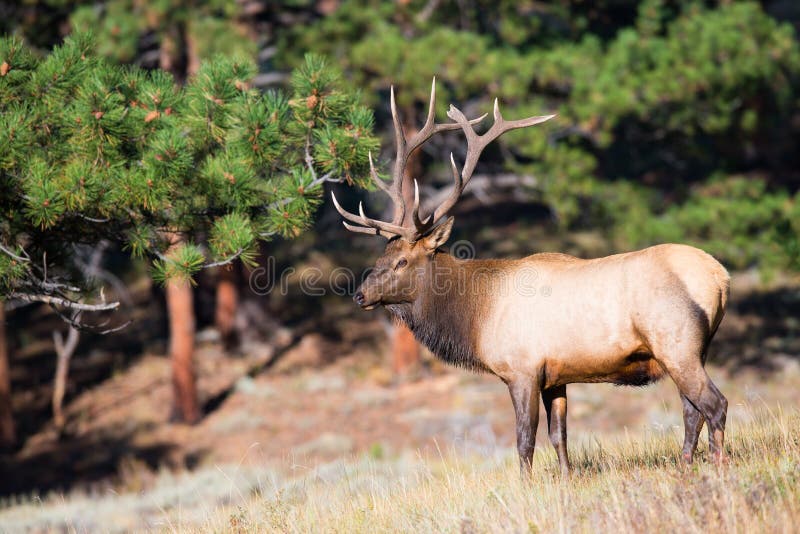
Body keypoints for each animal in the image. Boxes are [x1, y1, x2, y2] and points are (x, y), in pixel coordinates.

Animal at [332, 79, 730, 476]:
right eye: (381, 256)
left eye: (401, 261)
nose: (360, 295)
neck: (476, 314)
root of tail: (720, 278)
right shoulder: (555, 376)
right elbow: (559, 436)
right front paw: (566, 479)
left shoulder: (521, 370)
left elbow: (524, 441)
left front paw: (526, 484)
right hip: (693, 349)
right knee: (692, 410)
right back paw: (685, 465)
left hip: (675, 343)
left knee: (715, 405)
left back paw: (718, 467)